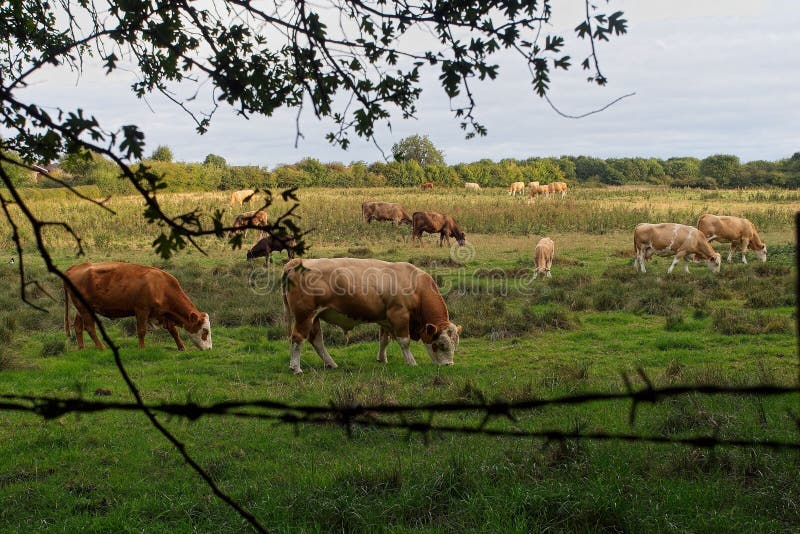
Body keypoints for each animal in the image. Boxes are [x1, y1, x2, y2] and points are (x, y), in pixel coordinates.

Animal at [64, 262, 212, 351]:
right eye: (205, 331)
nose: (209, 349)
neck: (161, 286)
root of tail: (75, 267)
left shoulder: (163, 313)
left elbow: (173, 331)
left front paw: (181, 347)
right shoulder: (142, 310)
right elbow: (141, 331)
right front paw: (141, 348)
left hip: (80, 309)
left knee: (78, 326)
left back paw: (81, 348)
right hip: (84, 309)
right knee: (90, 328)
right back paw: (101, 347)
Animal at [282, 257, 462, 374]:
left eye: (455, 345)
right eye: (441, 345)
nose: (449, 365)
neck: (415, 285)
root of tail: (297, 262)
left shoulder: (386, 319)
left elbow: (384, 340)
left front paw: (382, 359)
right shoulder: (399, 315)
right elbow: (404, 342)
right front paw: (411, 362)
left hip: (314, 317)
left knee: (317, 341)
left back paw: (330, 363)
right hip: (304, 316)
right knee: (298, 338)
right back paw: (296, 368)